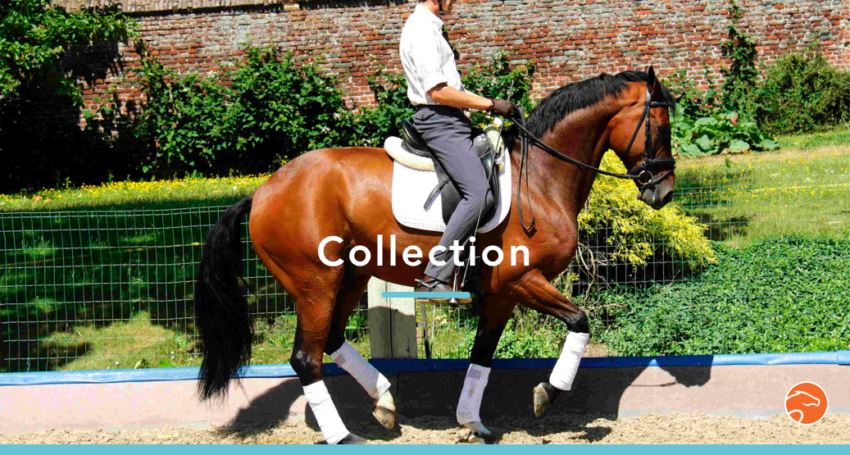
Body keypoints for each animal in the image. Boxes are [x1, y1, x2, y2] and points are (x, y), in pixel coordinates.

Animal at [194, 67, 676, 443]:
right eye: (661, 124)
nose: (664, 192)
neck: (539, 180)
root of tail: (262, 192)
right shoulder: (522, 280)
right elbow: (580, 321)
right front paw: (547, 393)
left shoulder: (502, 294)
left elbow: (483, 354)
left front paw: (472, 421)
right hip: (316, 283)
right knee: (306, 358)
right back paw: (344, 435)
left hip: (347, 278)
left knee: (330, 342)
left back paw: (385, 401)